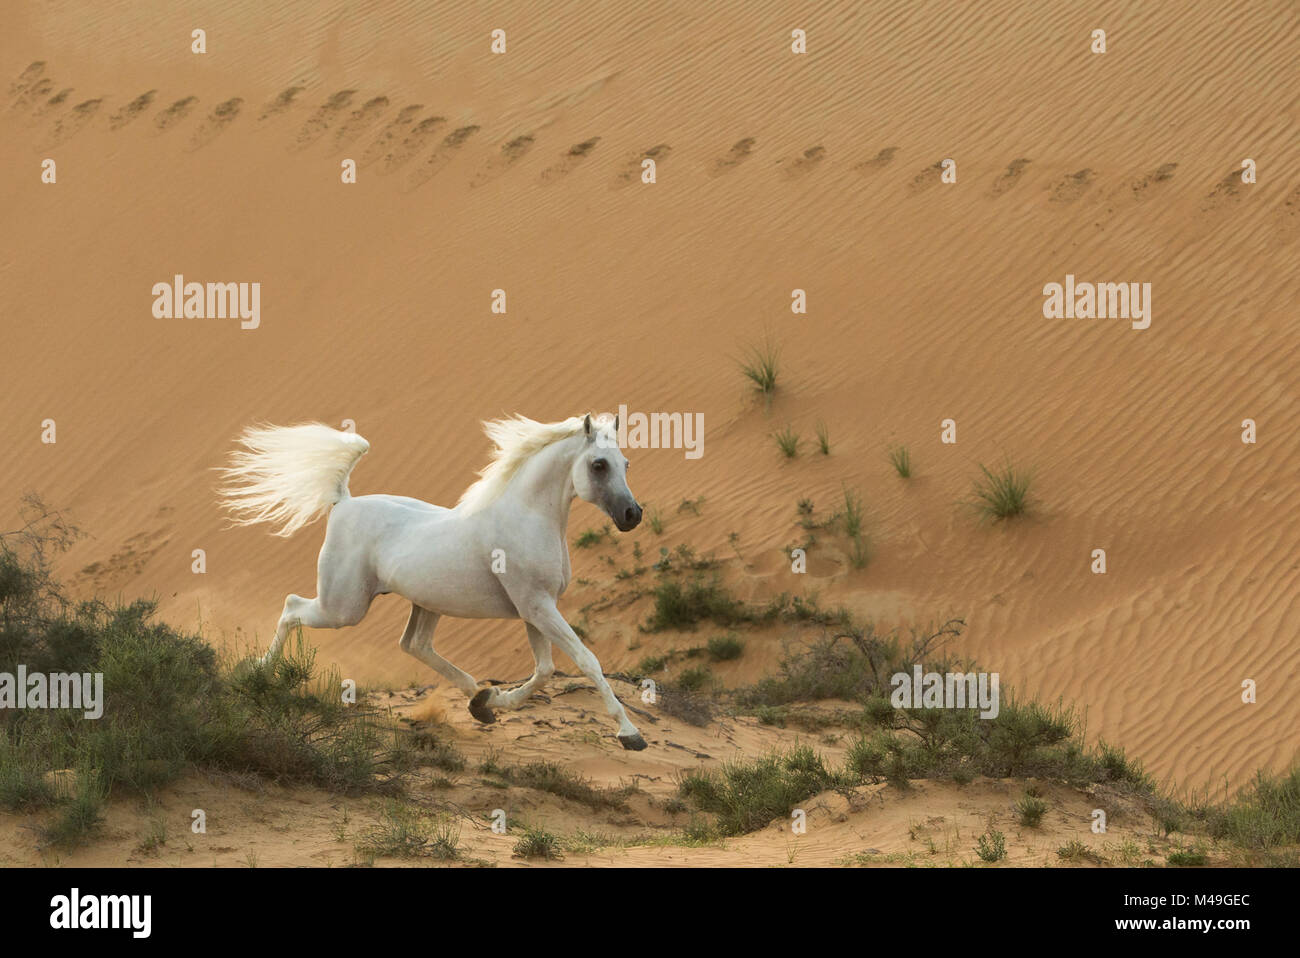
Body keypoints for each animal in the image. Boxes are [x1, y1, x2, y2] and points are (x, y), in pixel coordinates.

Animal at [217, 413, 648, 749]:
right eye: (598, 465)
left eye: (626, 463)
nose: (632, 516)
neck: (527, 518)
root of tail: (344, 501)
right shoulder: (537, 607)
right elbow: (586, 661)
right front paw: (630, 734)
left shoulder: (535, 609)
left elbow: (544, 671)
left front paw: (491, 704)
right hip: (343, 607)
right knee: (292, 607)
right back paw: (256, 672)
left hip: (425, 603)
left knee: (415, 645)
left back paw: (479, 698)